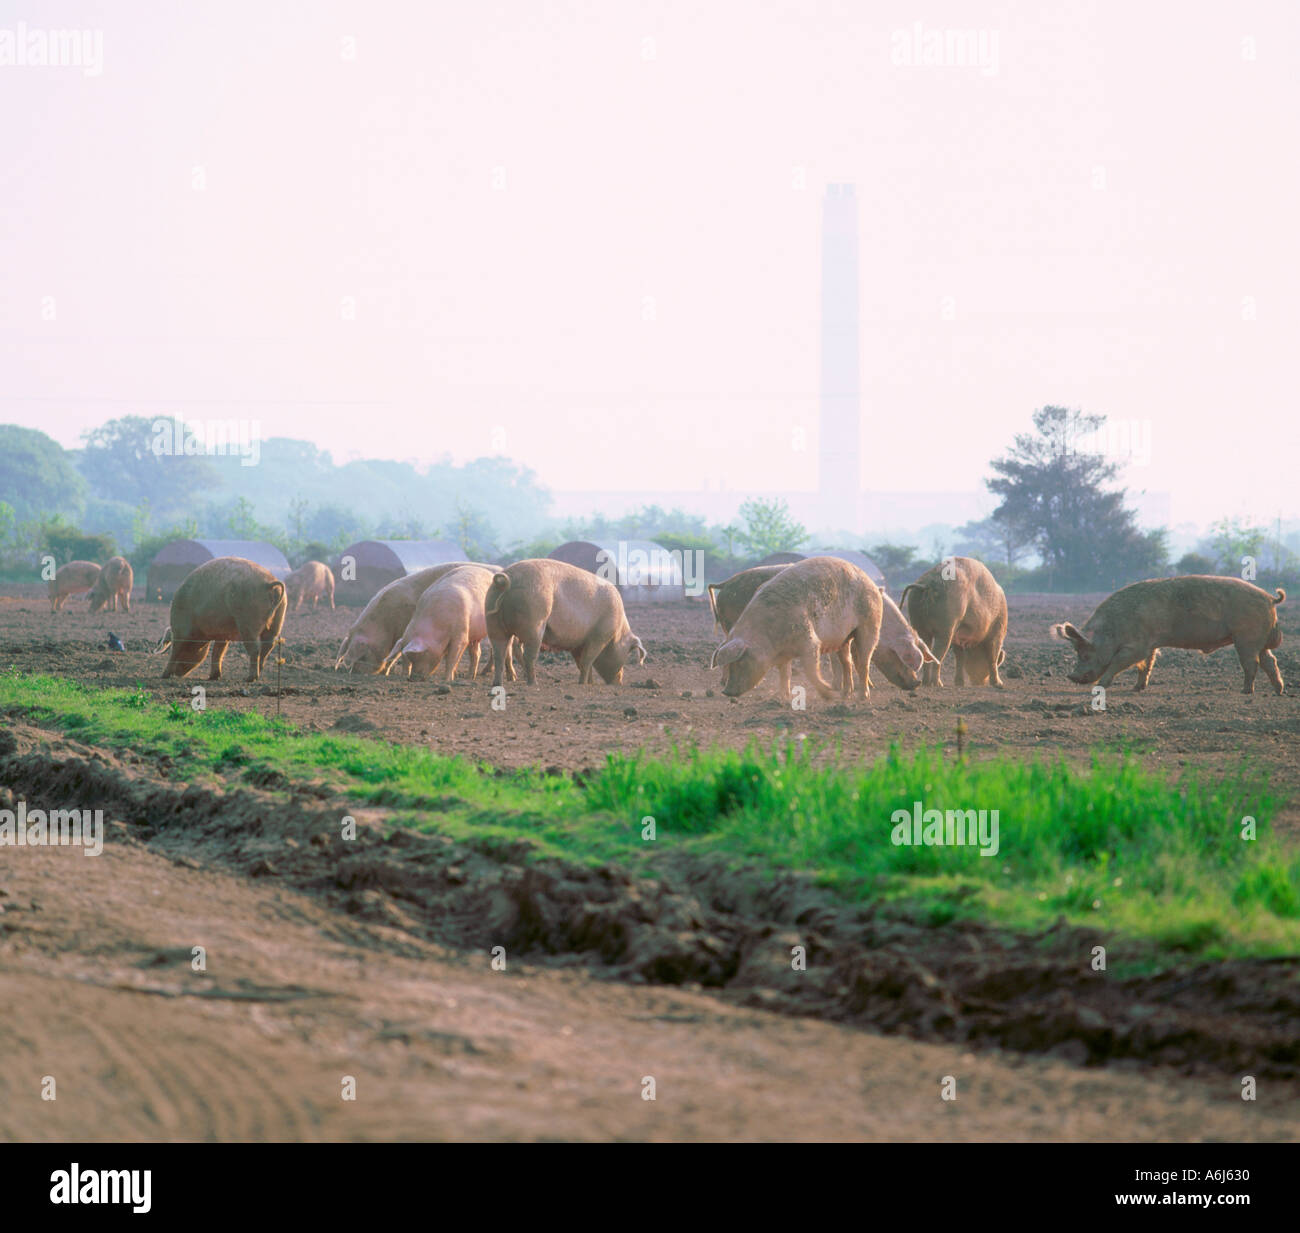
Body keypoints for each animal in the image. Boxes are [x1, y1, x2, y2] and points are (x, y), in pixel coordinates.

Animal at [154, 556, 288, 682]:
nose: (177, 673)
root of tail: (268, 583)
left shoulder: (181, 629)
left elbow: (175, 650)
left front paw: (163, 675)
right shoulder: (222, 635)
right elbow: (217, 652)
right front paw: (214, 677)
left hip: (248, 622)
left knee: (255, 649)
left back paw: (250, 678)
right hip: (278, 620)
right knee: (268, 646)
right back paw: (258, 674)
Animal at [484, 558, 647, 686]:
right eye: (627, 654)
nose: (619, 682)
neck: (617, 634)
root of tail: (508, 581)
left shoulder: (578, 643)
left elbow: (582, 663)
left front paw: (589, 683)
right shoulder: (600, 636)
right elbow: (588, 660)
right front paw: (583, 684)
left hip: (493, 623)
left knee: (499, 653)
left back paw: (497, 684)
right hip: (534, 622)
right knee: (528, 655)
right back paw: (534, 683)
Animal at [710, 557, 882, 700]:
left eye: (741, 663)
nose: (726, 692)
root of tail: (871, 581)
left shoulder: (809, 640)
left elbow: (811, 671)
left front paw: (829, 694)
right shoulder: (783, 654)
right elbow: (785, 673)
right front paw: (783, 698)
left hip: (870, 624)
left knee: (864, 661)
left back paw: (862, 696)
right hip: (843, 638)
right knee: (847, 661)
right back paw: (846, 695)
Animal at [899, 556, 1008, 687]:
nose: (979, 683)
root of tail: (927, 584)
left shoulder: (958, 638)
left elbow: (960, 658)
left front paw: (959, 684)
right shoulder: (997, 631)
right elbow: (993, 657)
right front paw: (999, 684)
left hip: (918, 623)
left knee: (924, 650)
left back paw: (925, 683)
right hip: (946, 626)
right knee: (937, 654)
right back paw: (938, 684)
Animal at [1051, 576, 1285, 695]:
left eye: (1085, 654)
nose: (1071, 676)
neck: (1112, 629)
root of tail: (1269, 598)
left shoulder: (1137, 646)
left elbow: (1119, 662)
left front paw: (1099, 686)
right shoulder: (1150, 644)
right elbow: (1146, 665)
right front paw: (1137, 688)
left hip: (1246, 638)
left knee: (1252, 663)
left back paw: (1246, 691)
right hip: (1257, 641)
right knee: (1269, 661)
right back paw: (1278, 690)